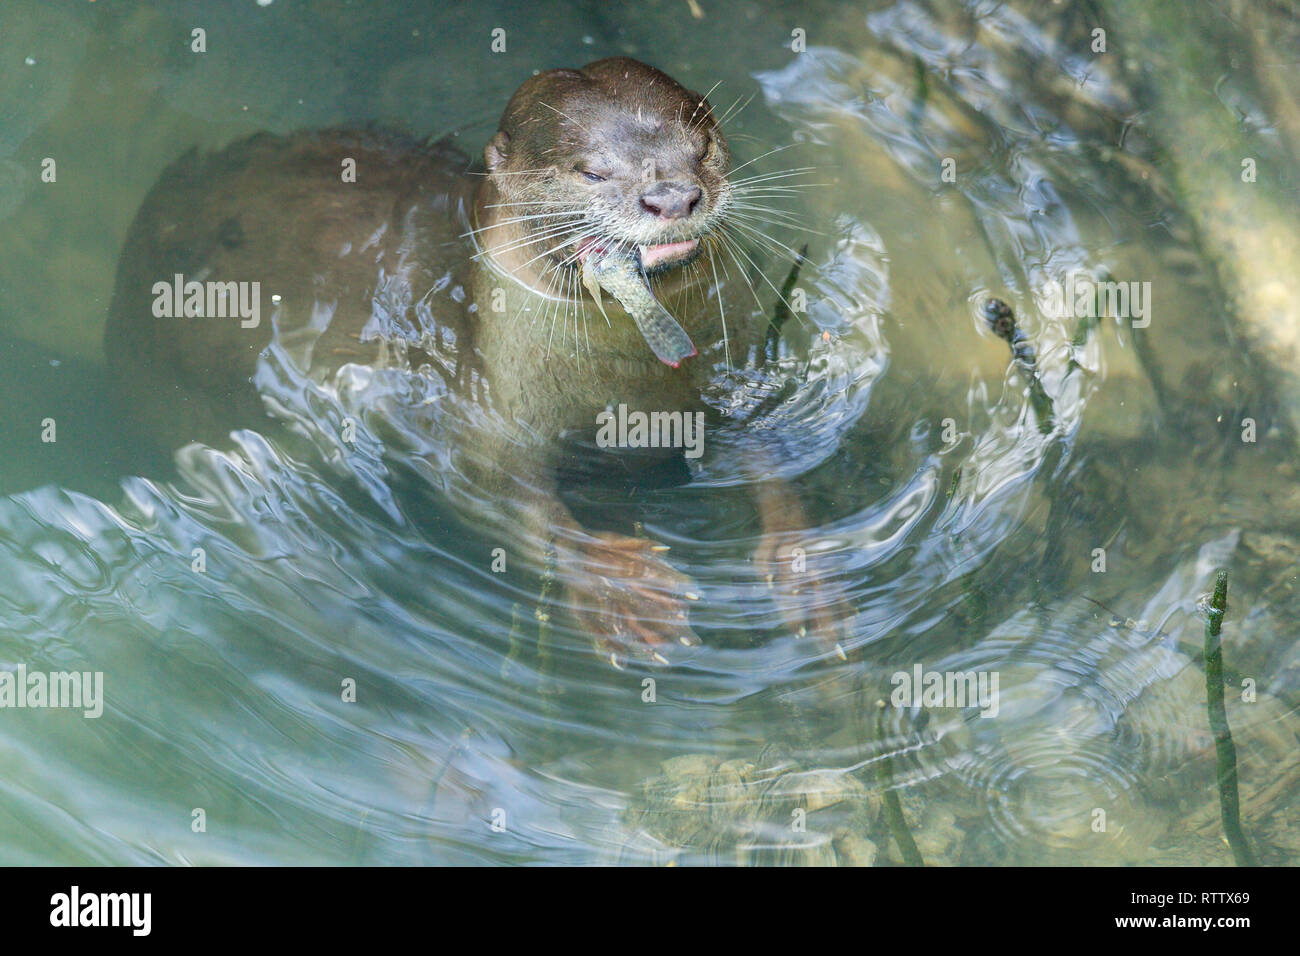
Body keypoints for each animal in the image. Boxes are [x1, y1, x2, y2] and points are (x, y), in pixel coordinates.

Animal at [105, 58, 844, 665]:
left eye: (704, 147)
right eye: (593, 172)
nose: (672, 197)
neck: (620, 383)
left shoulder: (737, 372)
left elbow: (769, 450)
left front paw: (803, 566)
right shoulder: (476, 411)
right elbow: (503, 498)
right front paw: (618, 589)